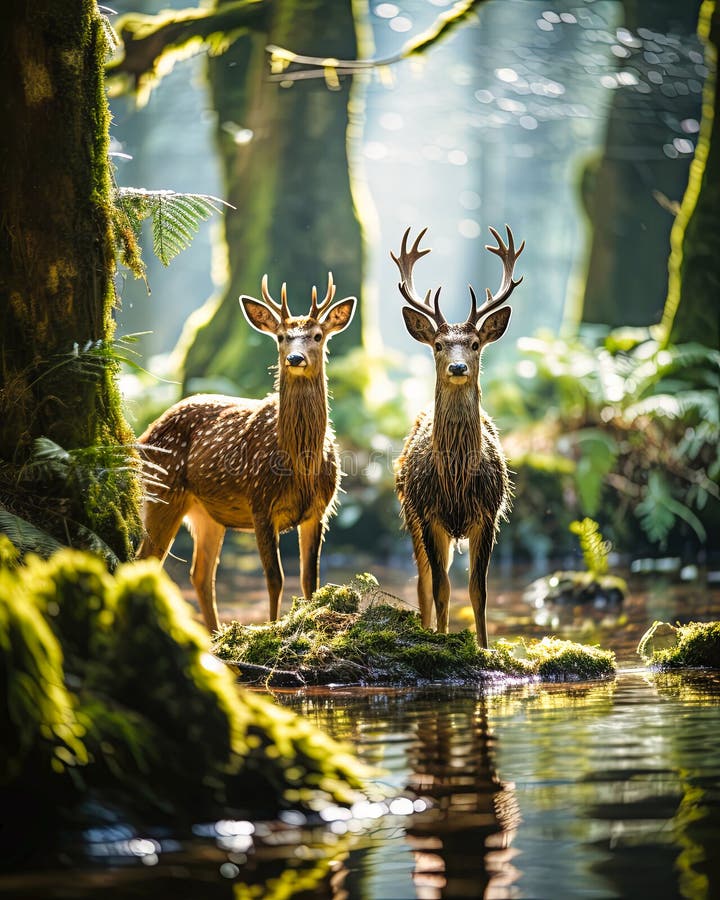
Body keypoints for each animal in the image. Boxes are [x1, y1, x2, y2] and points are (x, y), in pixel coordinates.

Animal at [136, 273, 356, 633]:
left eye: (317, 335)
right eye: (281, 337)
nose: (295, 359)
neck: (300, 466)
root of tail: (143, 435)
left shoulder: (319, 510)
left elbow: (310, 580)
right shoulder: (260, 502)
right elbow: (275, 578)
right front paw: (272, 628)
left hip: (206, 513)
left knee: (200, 574)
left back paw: (215, 634)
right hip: (162, 493)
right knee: (147, 560)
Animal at [391, 225, 524, 648]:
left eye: (475, 343)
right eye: (438, 344)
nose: (458, 366)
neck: (456, 479)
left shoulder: (489, 513)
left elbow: (478, 590)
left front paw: (484, 647)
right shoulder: (428, 512)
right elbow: (441, 588)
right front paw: (443, 639)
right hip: (410, 514)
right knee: (422, 581)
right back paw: (426, 628)